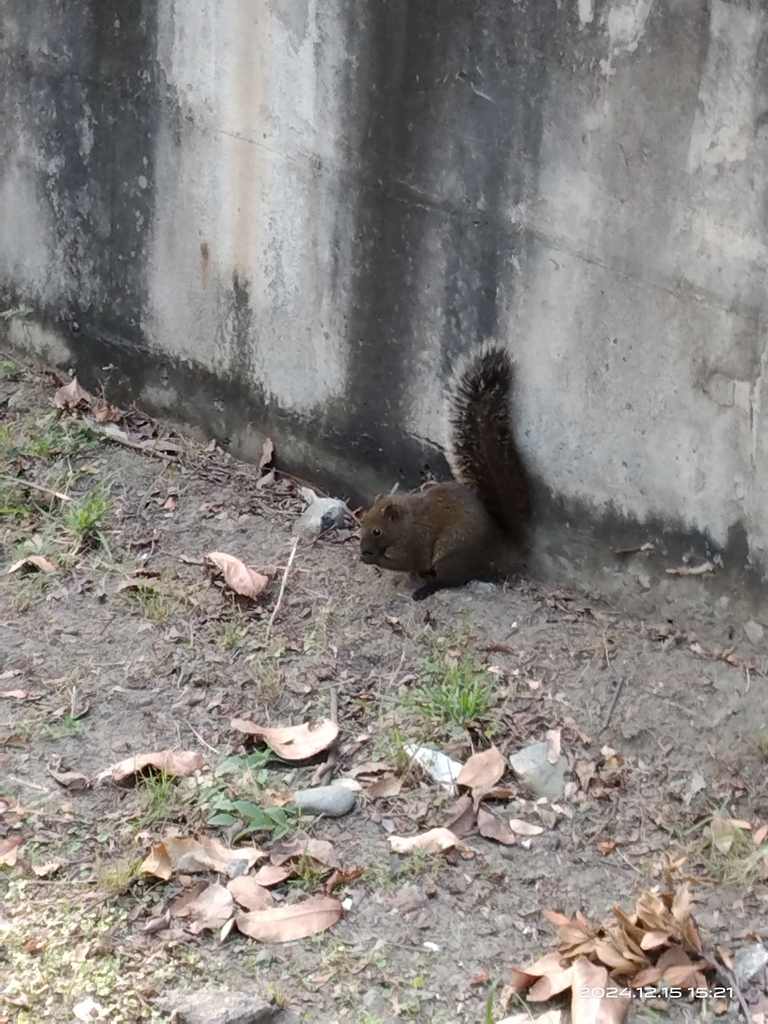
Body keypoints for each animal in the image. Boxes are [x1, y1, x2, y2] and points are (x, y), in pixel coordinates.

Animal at [359, 343, 531, 600]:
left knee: (451, 579)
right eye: (362, 521)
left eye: (377, 531)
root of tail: (497, 550)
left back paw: (426, 588)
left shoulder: (414, 543)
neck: (406, 522)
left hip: (451, 554)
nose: (363, 548)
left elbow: (405, 561)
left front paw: (372, 558)